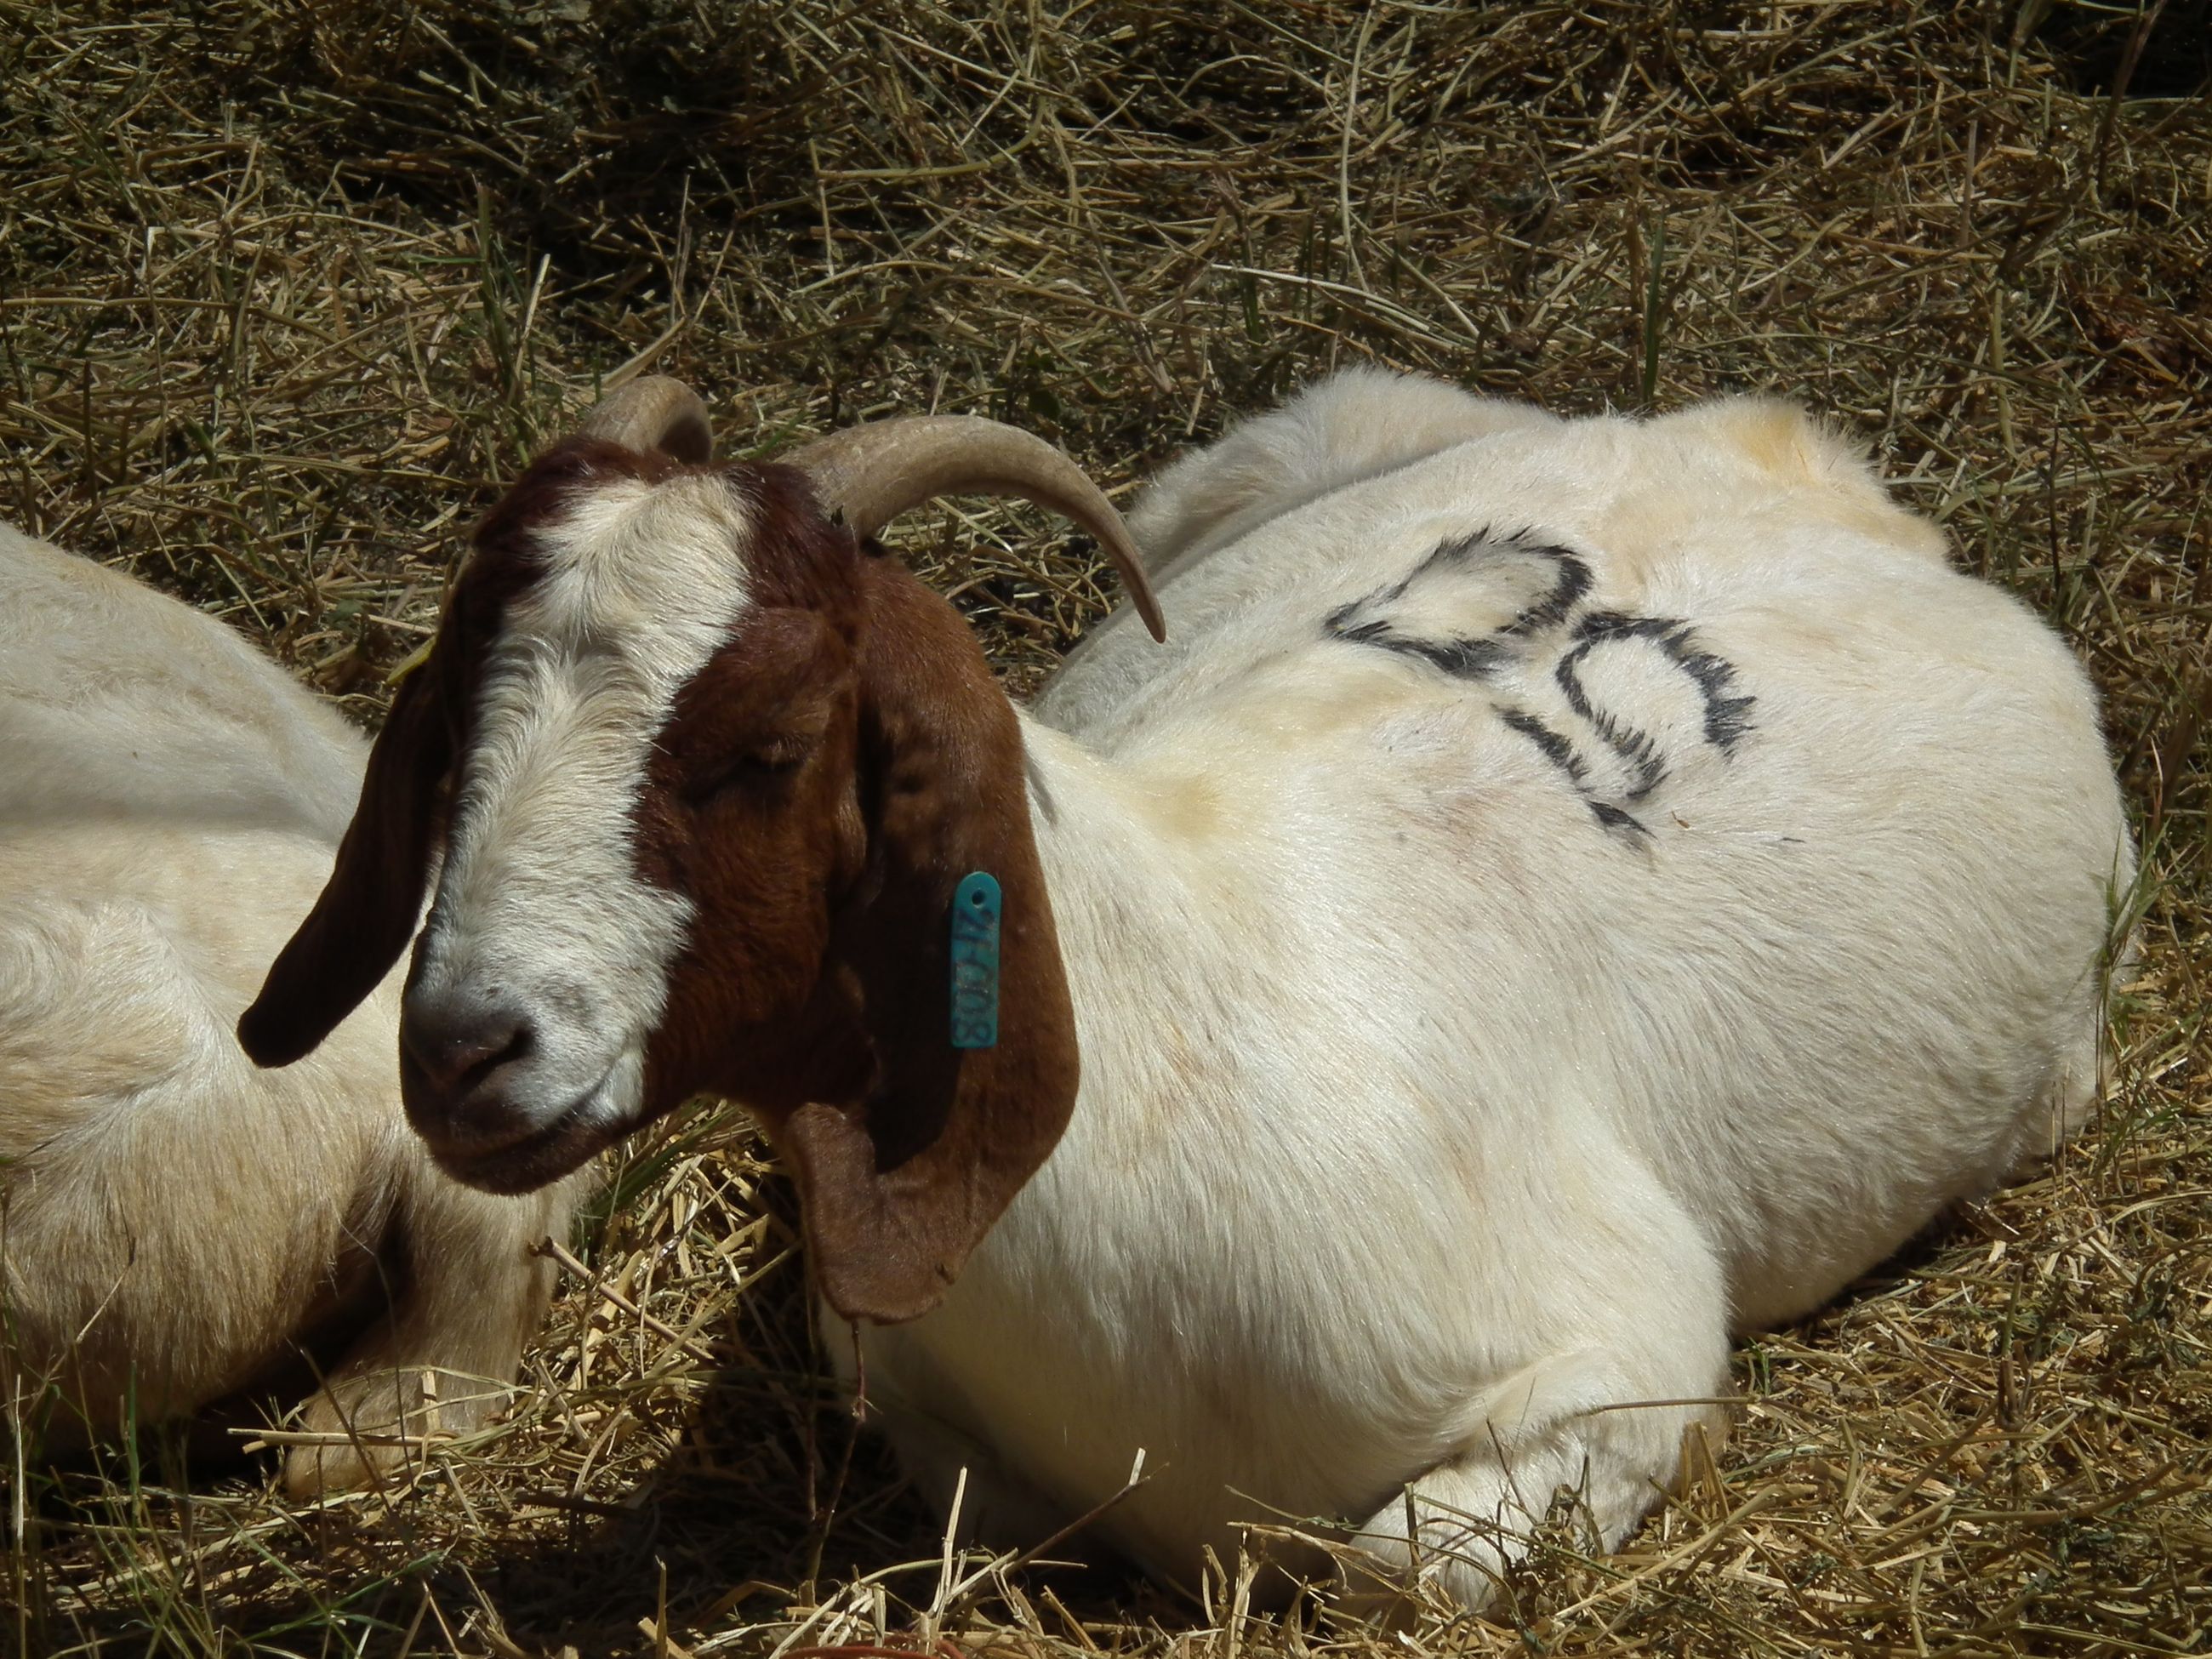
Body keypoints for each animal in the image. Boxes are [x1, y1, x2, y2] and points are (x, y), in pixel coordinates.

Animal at [239, 370, 2132, 1605]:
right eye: (453, 720)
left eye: (765, 745)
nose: (464, 1049)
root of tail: (1803, 462)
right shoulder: (917, 1400)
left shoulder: (1626, 1359)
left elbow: (1392, 1575)